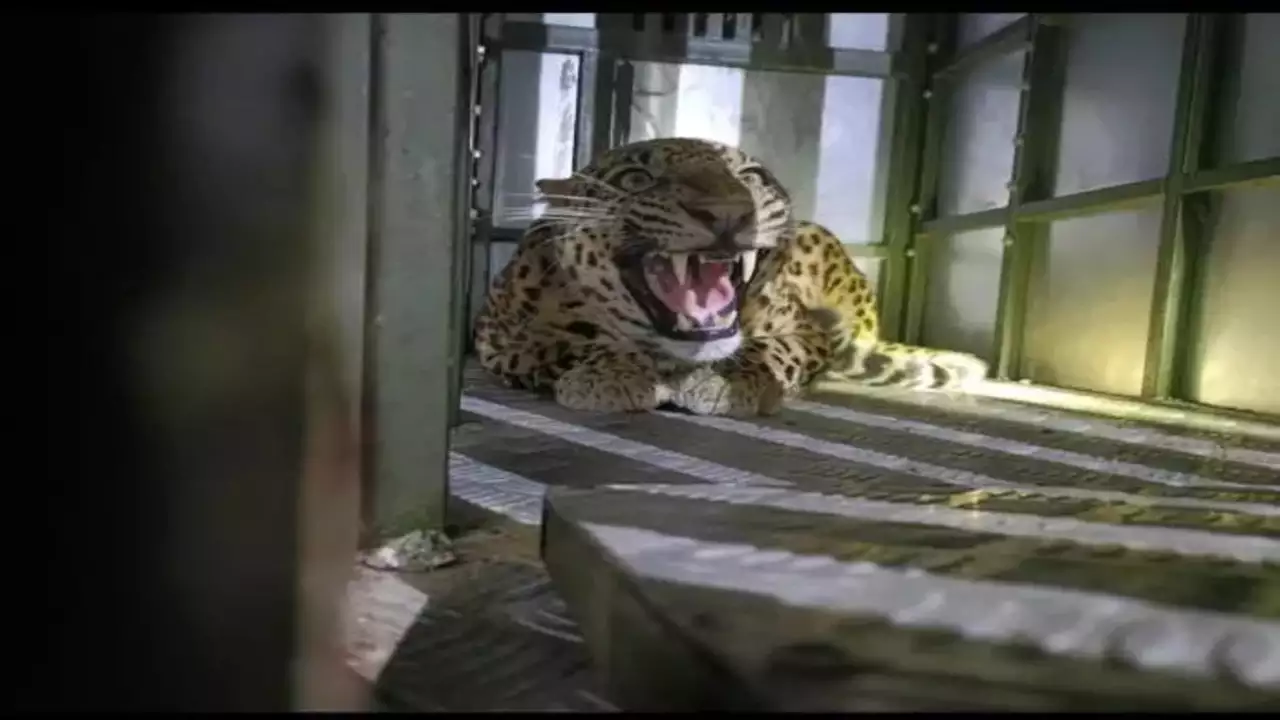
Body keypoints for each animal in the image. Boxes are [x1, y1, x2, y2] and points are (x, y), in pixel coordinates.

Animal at [473, 137, 989, 417]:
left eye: (751, 176)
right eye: (636, 178)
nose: (727, 209)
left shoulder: (808, 332)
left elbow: (772, 350)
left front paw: (730, 384)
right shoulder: (499, 337)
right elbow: (566, 346)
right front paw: (611, 374)